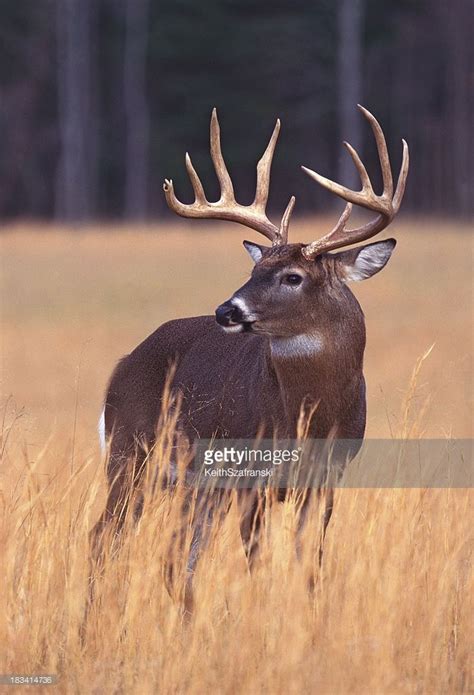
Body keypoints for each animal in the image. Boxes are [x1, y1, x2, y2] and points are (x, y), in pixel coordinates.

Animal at [91, 105, 409, 596]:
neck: (309, 418)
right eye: (255, 270)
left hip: (194, 486)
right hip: (132, 454)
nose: (226, 309)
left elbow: (311, 565)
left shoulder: (327, 481)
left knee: (176, 559)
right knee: (105, 537)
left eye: (293, 277)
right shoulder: (249, 478)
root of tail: (122, 365)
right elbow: (256, 562)